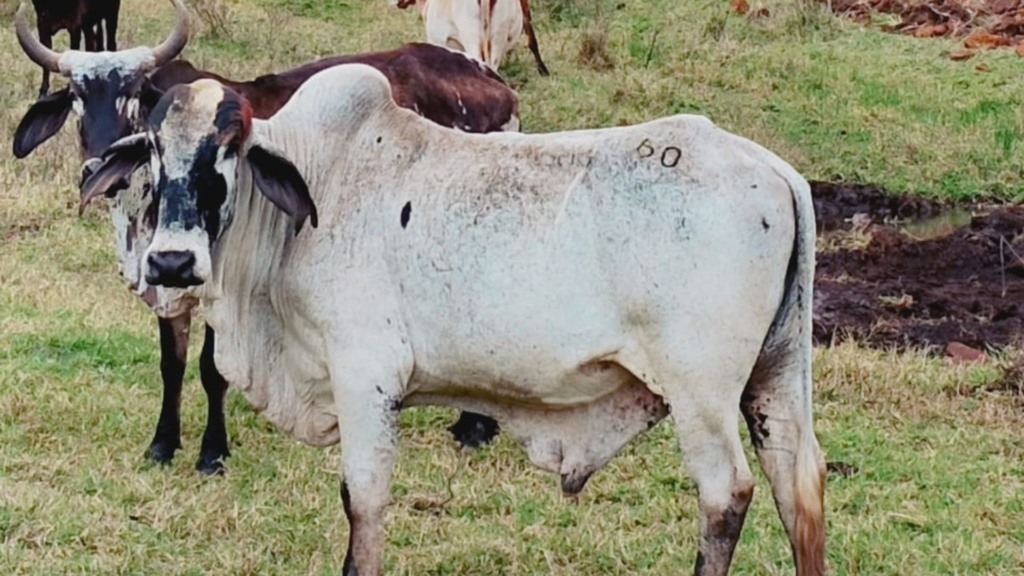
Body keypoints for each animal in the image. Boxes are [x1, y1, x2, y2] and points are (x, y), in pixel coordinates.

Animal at [14, 0, 515, 473]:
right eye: (76, 96)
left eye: (133, 95)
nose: (99, 169)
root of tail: (486, 75)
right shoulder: (165, 281)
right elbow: (171, 364)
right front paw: (162, 444)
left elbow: (211, 368)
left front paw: (212, 452)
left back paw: (475, 427)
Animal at [82, 65, 828, 575]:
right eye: (153, 151)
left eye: (229, 147)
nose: (171, 262)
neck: (321, 179)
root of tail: (774, 170)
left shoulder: (364, 377)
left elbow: (363, 501)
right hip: (775, 381)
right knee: (800, 486)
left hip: (701, 394)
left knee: (726, 494)